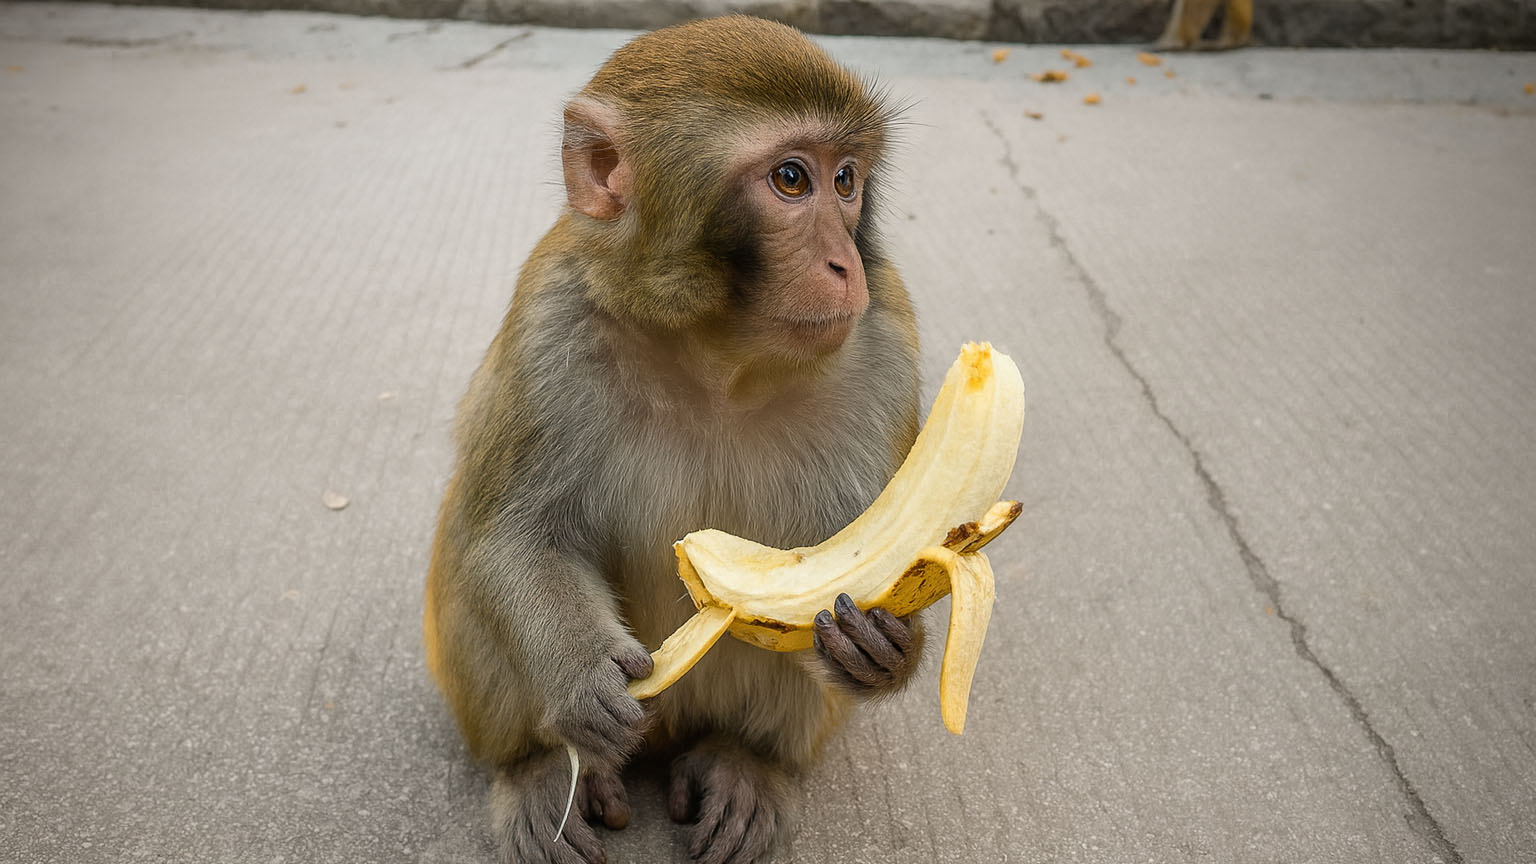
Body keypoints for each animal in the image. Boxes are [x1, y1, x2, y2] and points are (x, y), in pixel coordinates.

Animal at [423, 16, 926, 864]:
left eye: (847, 180)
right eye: (792, 179)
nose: (844, 264)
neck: (715, 353)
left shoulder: (884, 340)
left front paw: (886, 646)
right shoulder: (550, 316)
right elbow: (512, 535)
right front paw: (579, 677)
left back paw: (746, 766)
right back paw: (537, 773)